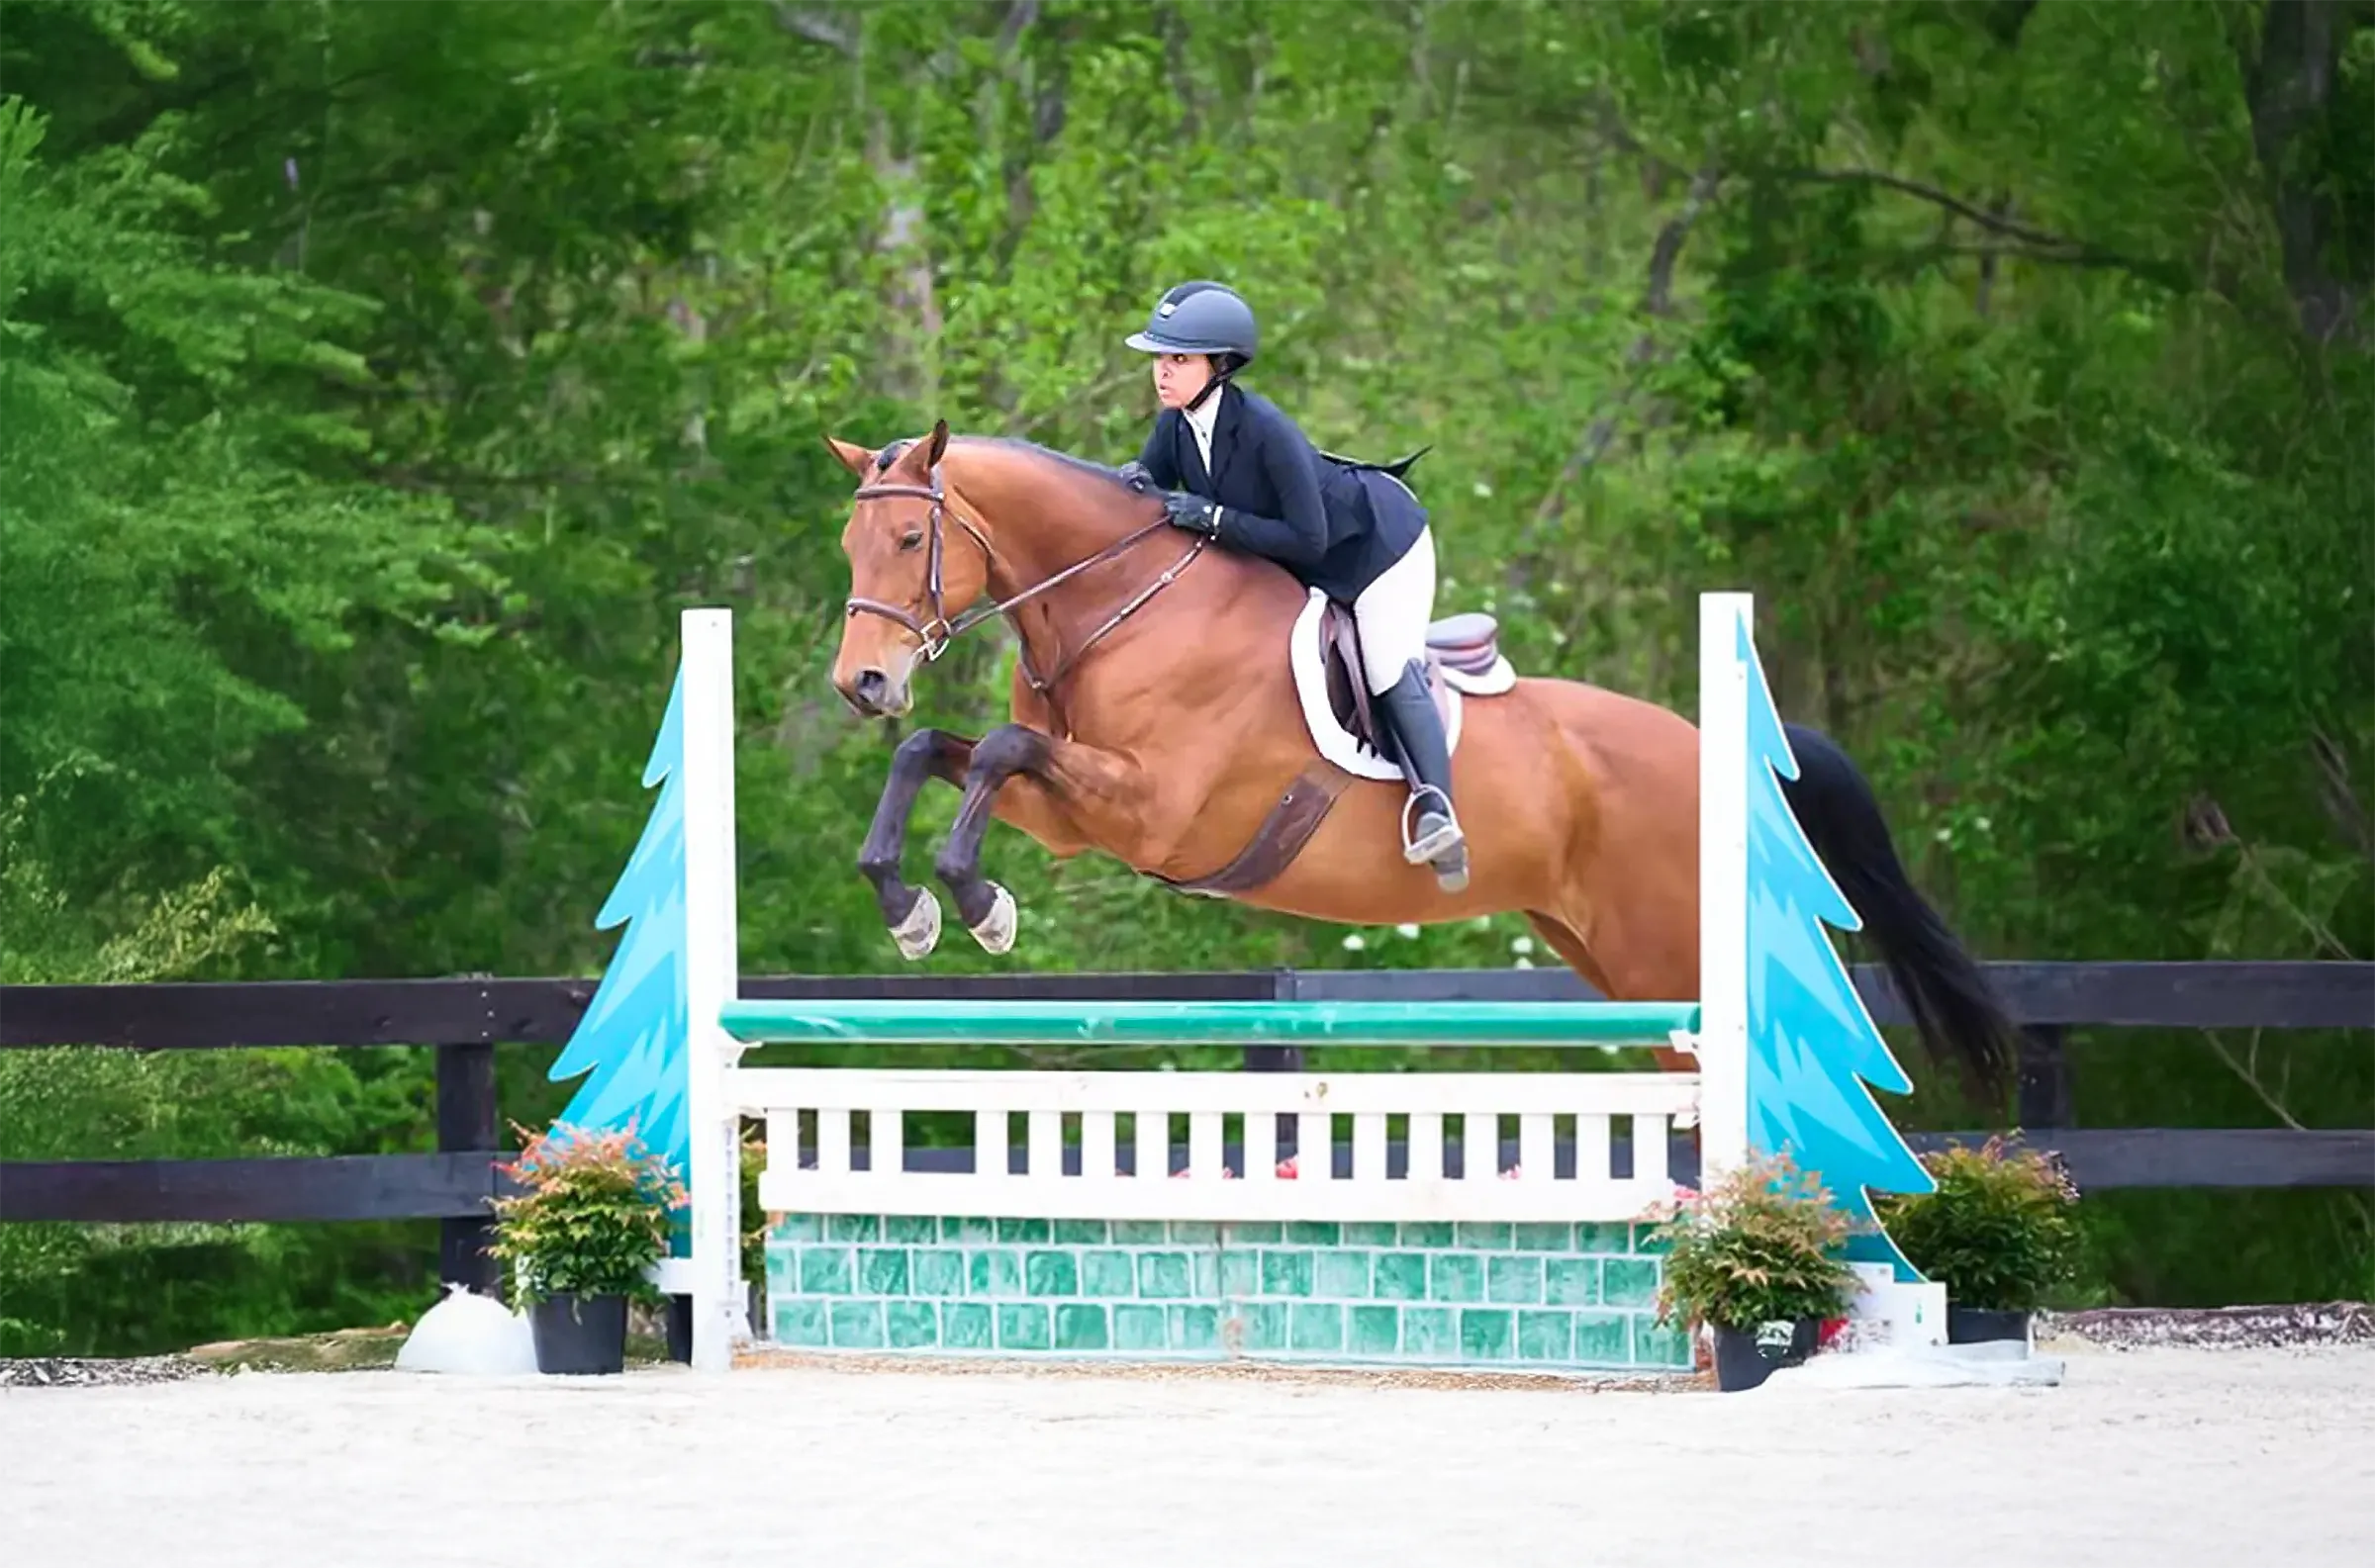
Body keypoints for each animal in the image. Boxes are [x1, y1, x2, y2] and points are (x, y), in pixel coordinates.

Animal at [819, 419, 2014, 1097]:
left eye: (913, 540)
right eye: (849, 545)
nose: (861, 683)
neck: (1117, 603)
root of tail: (1706, 743)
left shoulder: (1152, 807)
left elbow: (996, 747)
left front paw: (977, 905)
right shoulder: (1072, 812)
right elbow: (938, 750)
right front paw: (910, 907)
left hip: (1667, 952)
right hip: (1608, 952)